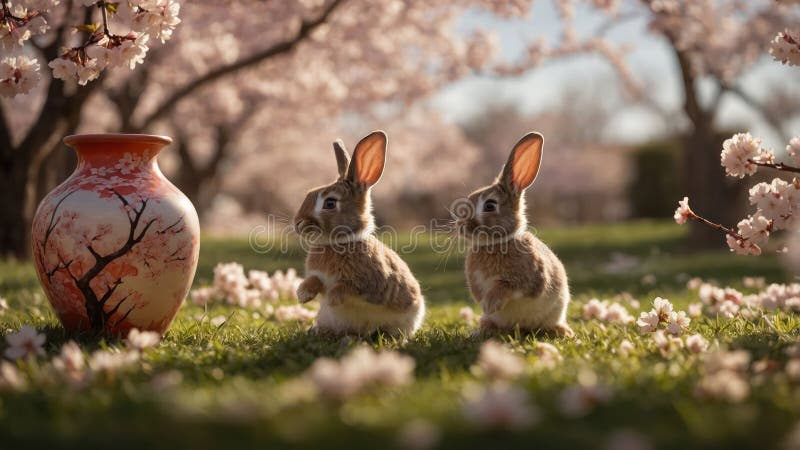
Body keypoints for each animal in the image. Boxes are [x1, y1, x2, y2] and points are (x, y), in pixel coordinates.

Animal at [293, 131, 426, 337]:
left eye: (330, 203)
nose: (297, 223)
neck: (338, 242)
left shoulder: (373, 285)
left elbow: (348, 287)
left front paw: (333, 298)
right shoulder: (318, 276)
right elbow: (315, 280)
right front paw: (303, 294)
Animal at [454, 132, 574, 337]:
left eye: (490, 205)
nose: (462, 226)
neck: (495, 244)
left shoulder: (532, 278)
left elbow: (509, 285)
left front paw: (491, 303)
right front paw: (485, 304)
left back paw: (563, 332)